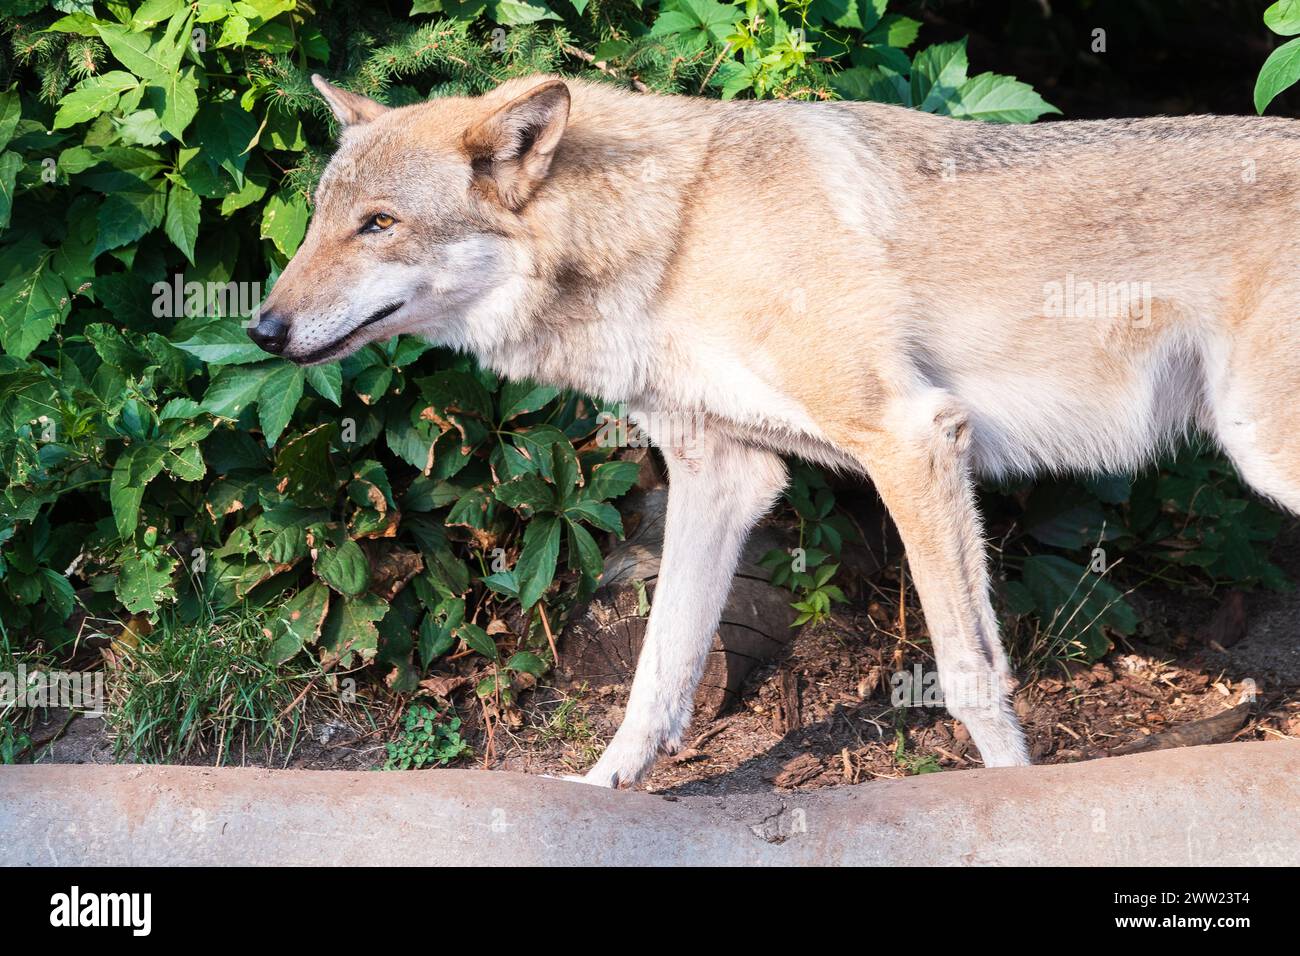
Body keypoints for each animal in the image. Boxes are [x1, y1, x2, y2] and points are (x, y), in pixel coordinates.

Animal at [250, 72, 1300, 787]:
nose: (260, 329)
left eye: (379, 225)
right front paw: (599, 793)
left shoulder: (913, 439)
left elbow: (969, 674)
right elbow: (659, 676)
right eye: (322, 220)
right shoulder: (723, 474)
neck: (679, 234)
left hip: (1261, 446)